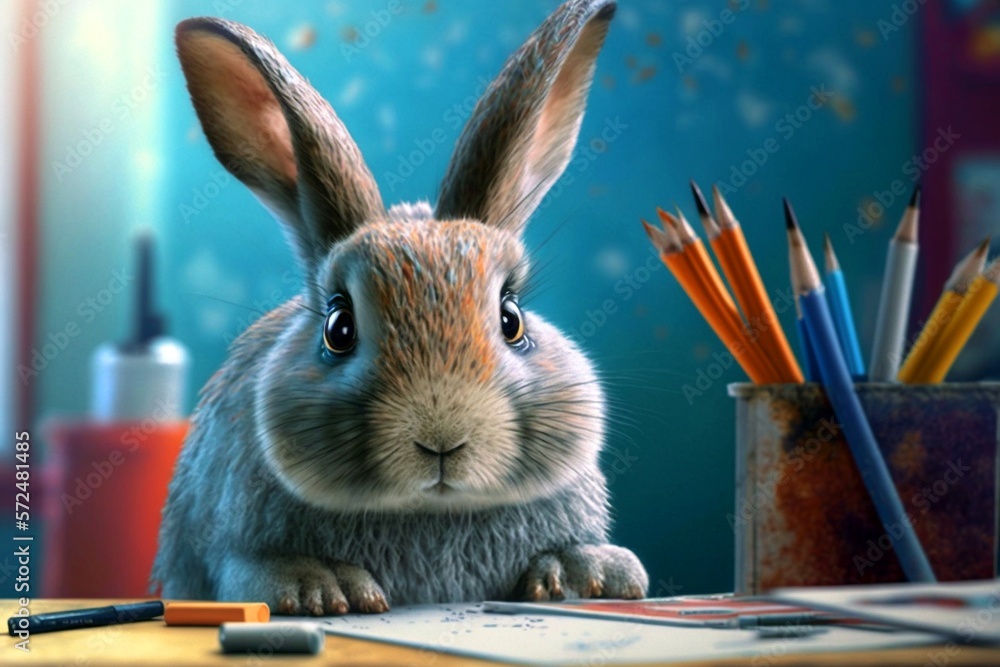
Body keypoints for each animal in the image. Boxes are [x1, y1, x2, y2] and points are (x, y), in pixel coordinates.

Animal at [152, 0, 648, 616]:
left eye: (511, 320)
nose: (441, 437)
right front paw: (324, 588)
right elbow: (253, 576)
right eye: (338, 328)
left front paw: (587, 574)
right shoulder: (232, 553)